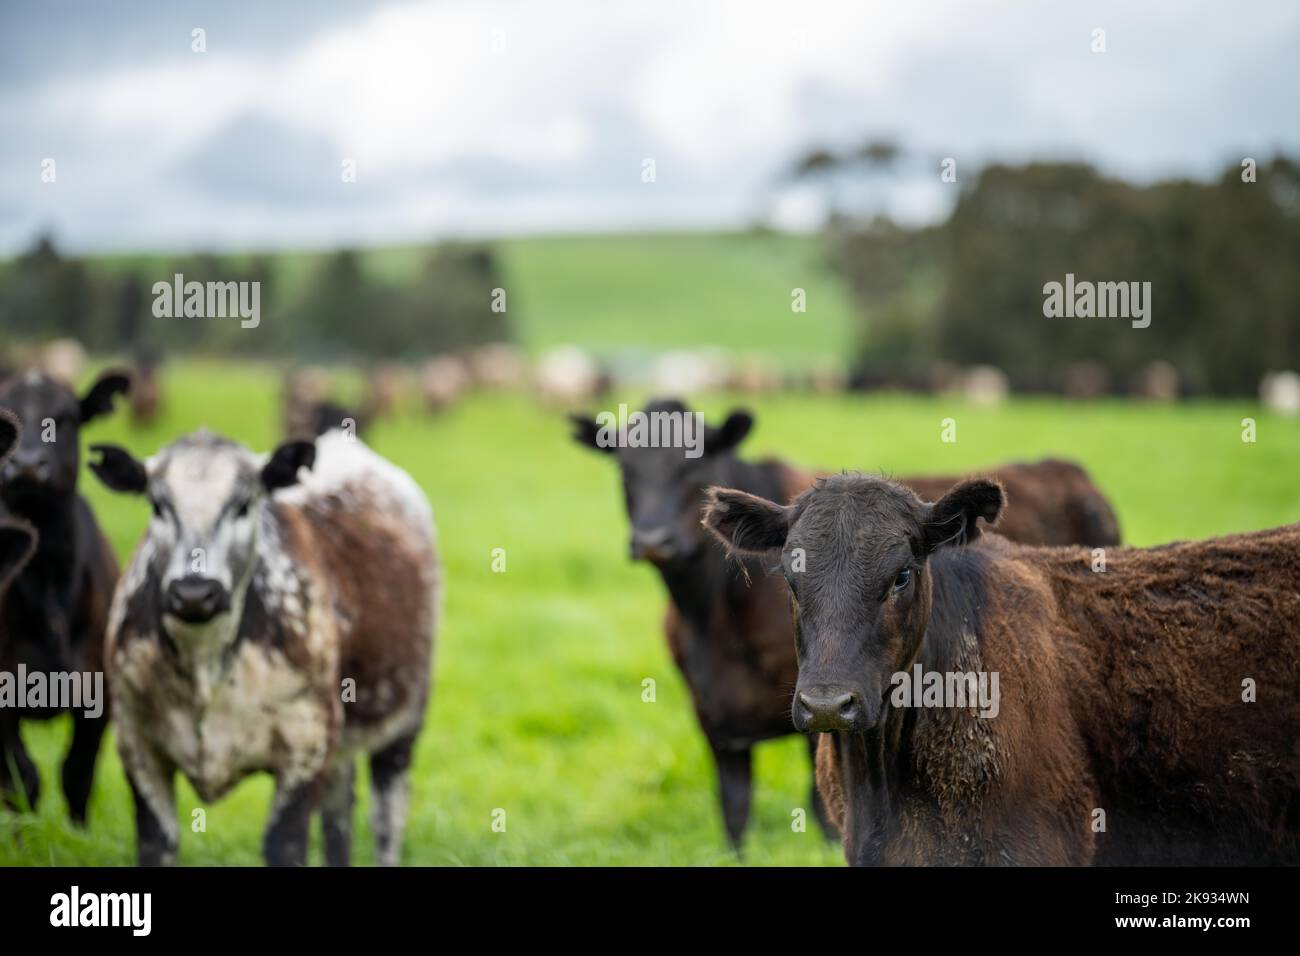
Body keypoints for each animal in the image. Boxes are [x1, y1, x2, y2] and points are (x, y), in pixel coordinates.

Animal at [0, 370, 130, 822]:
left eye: (67, 418)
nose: (25, 465)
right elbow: (21, 780)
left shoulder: (100, 693)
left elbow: (77, 774)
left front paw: (79, 833)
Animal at [89, 427, 438, 866]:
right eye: (158, 505)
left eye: (243, 505)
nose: (194, 593)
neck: (206, 665)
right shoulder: (136, 745)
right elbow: (156, 843)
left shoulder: (307, 746)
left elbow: (283, 845)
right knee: (338, 817)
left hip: (401, 726)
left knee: (387, 818)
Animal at [570, 399, 1120, 849]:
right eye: (623, 471)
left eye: (695, 464)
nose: (653, 540)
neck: (709, 615)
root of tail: (1063, 467)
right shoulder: (716, 722)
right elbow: (734, 817)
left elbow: (824, 820)